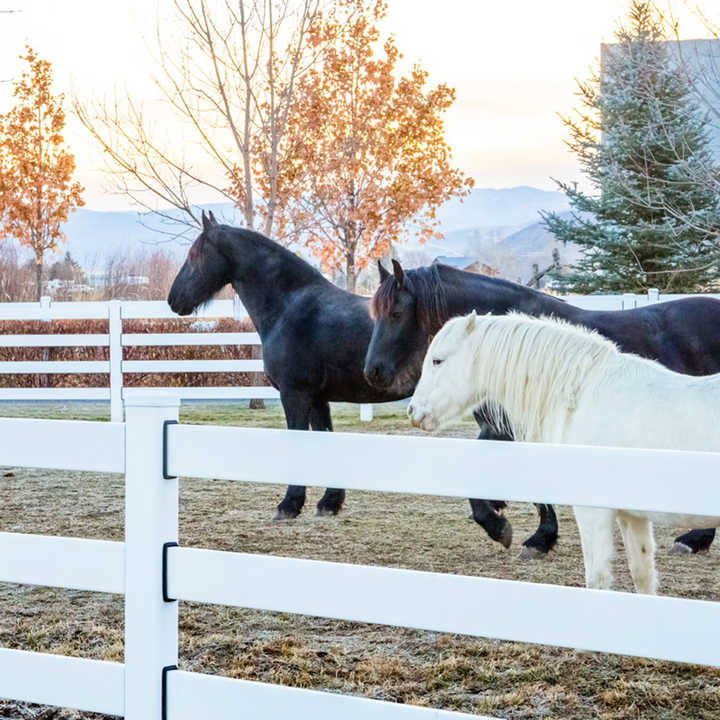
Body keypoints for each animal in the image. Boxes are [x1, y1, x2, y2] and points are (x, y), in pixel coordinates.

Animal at [408, 311, 720, 594]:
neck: (584, 394)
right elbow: (642, 578)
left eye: (438, 360)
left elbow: (598, 581)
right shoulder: (632, 515)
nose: (414, 411)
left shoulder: (593, 513)